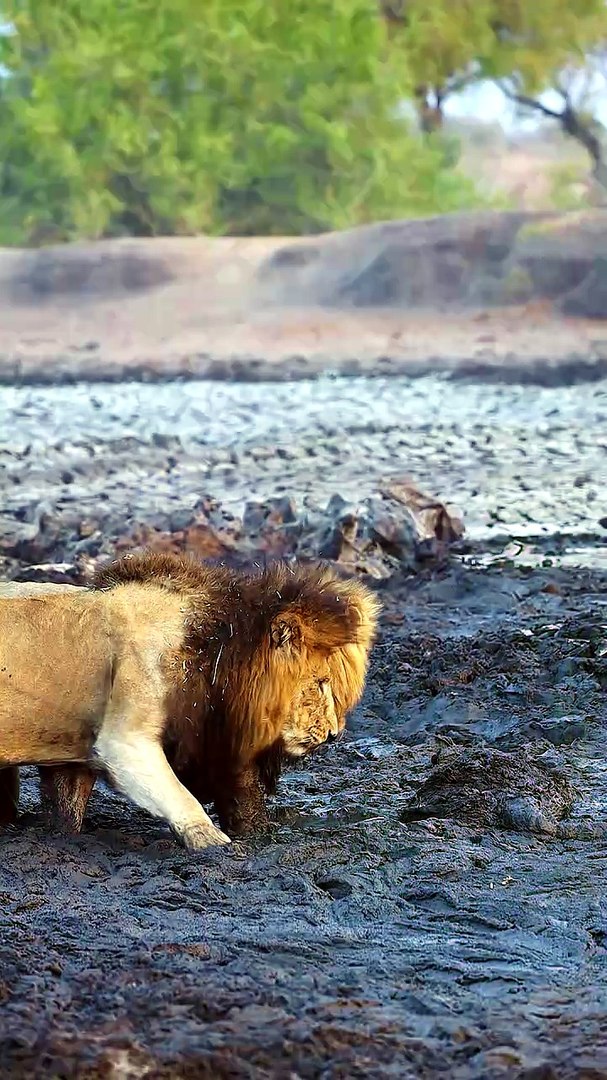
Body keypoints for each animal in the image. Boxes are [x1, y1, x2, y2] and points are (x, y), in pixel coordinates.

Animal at [0, 552, 379, 849]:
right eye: (320, 683)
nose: (333, 735)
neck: (215, 654)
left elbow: (65, 809)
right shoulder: (126, 735)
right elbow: (179, 796)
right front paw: (212, 842)